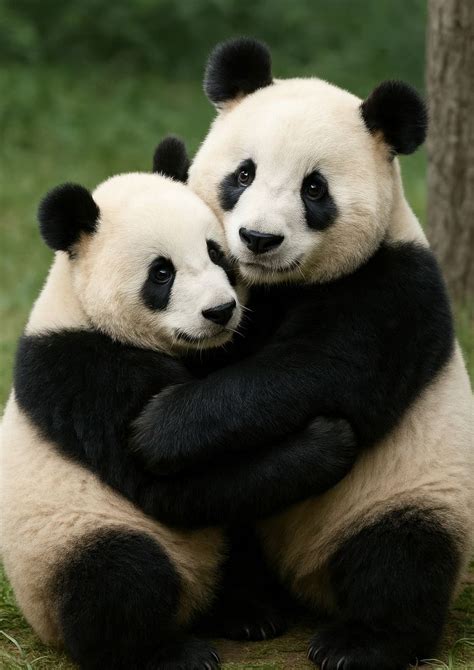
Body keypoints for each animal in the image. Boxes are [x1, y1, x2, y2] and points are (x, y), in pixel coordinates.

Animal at [0, 138, 357, 670]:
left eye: (215, 253)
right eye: (161, 273)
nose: (221, 311)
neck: (85, 309)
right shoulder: (81, 374)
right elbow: (167, 486)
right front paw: (327, 443)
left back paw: (245, 612)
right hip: (62, 549)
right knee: (117, 577)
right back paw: (172, 651)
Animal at [129, 40, 474, 670]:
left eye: (315, 189)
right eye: (243, 174)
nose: (259, 240)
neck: (279, 285)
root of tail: (302, 578)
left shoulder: (392, 288)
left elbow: (320, 372)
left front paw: (158, 428)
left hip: (409, 487)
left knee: (401, 557)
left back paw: (361, 641)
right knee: (231, 530)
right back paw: (246, 610)